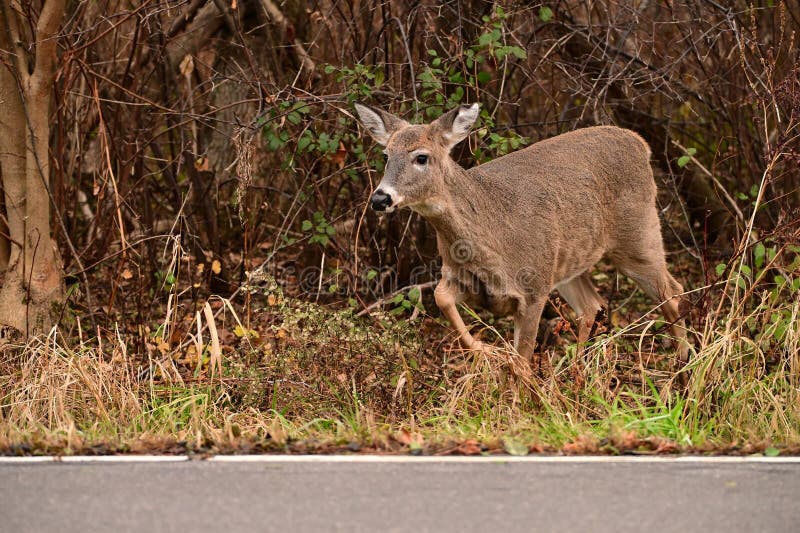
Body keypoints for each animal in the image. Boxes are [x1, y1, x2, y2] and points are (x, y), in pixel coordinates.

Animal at [354, 102, 689, 373]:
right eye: (386, 155)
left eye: (421, 157)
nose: (380, 198)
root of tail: (640, 142)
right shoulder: (460, 277)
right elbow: (440, 297)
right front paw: (484, 350)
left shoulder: (533, 288)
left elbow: (522, 360)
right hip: (567, 263)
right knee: (592, 305)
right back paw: (579, 373)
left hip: (638, 234)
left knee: (673, 291)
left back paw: (683, 374)